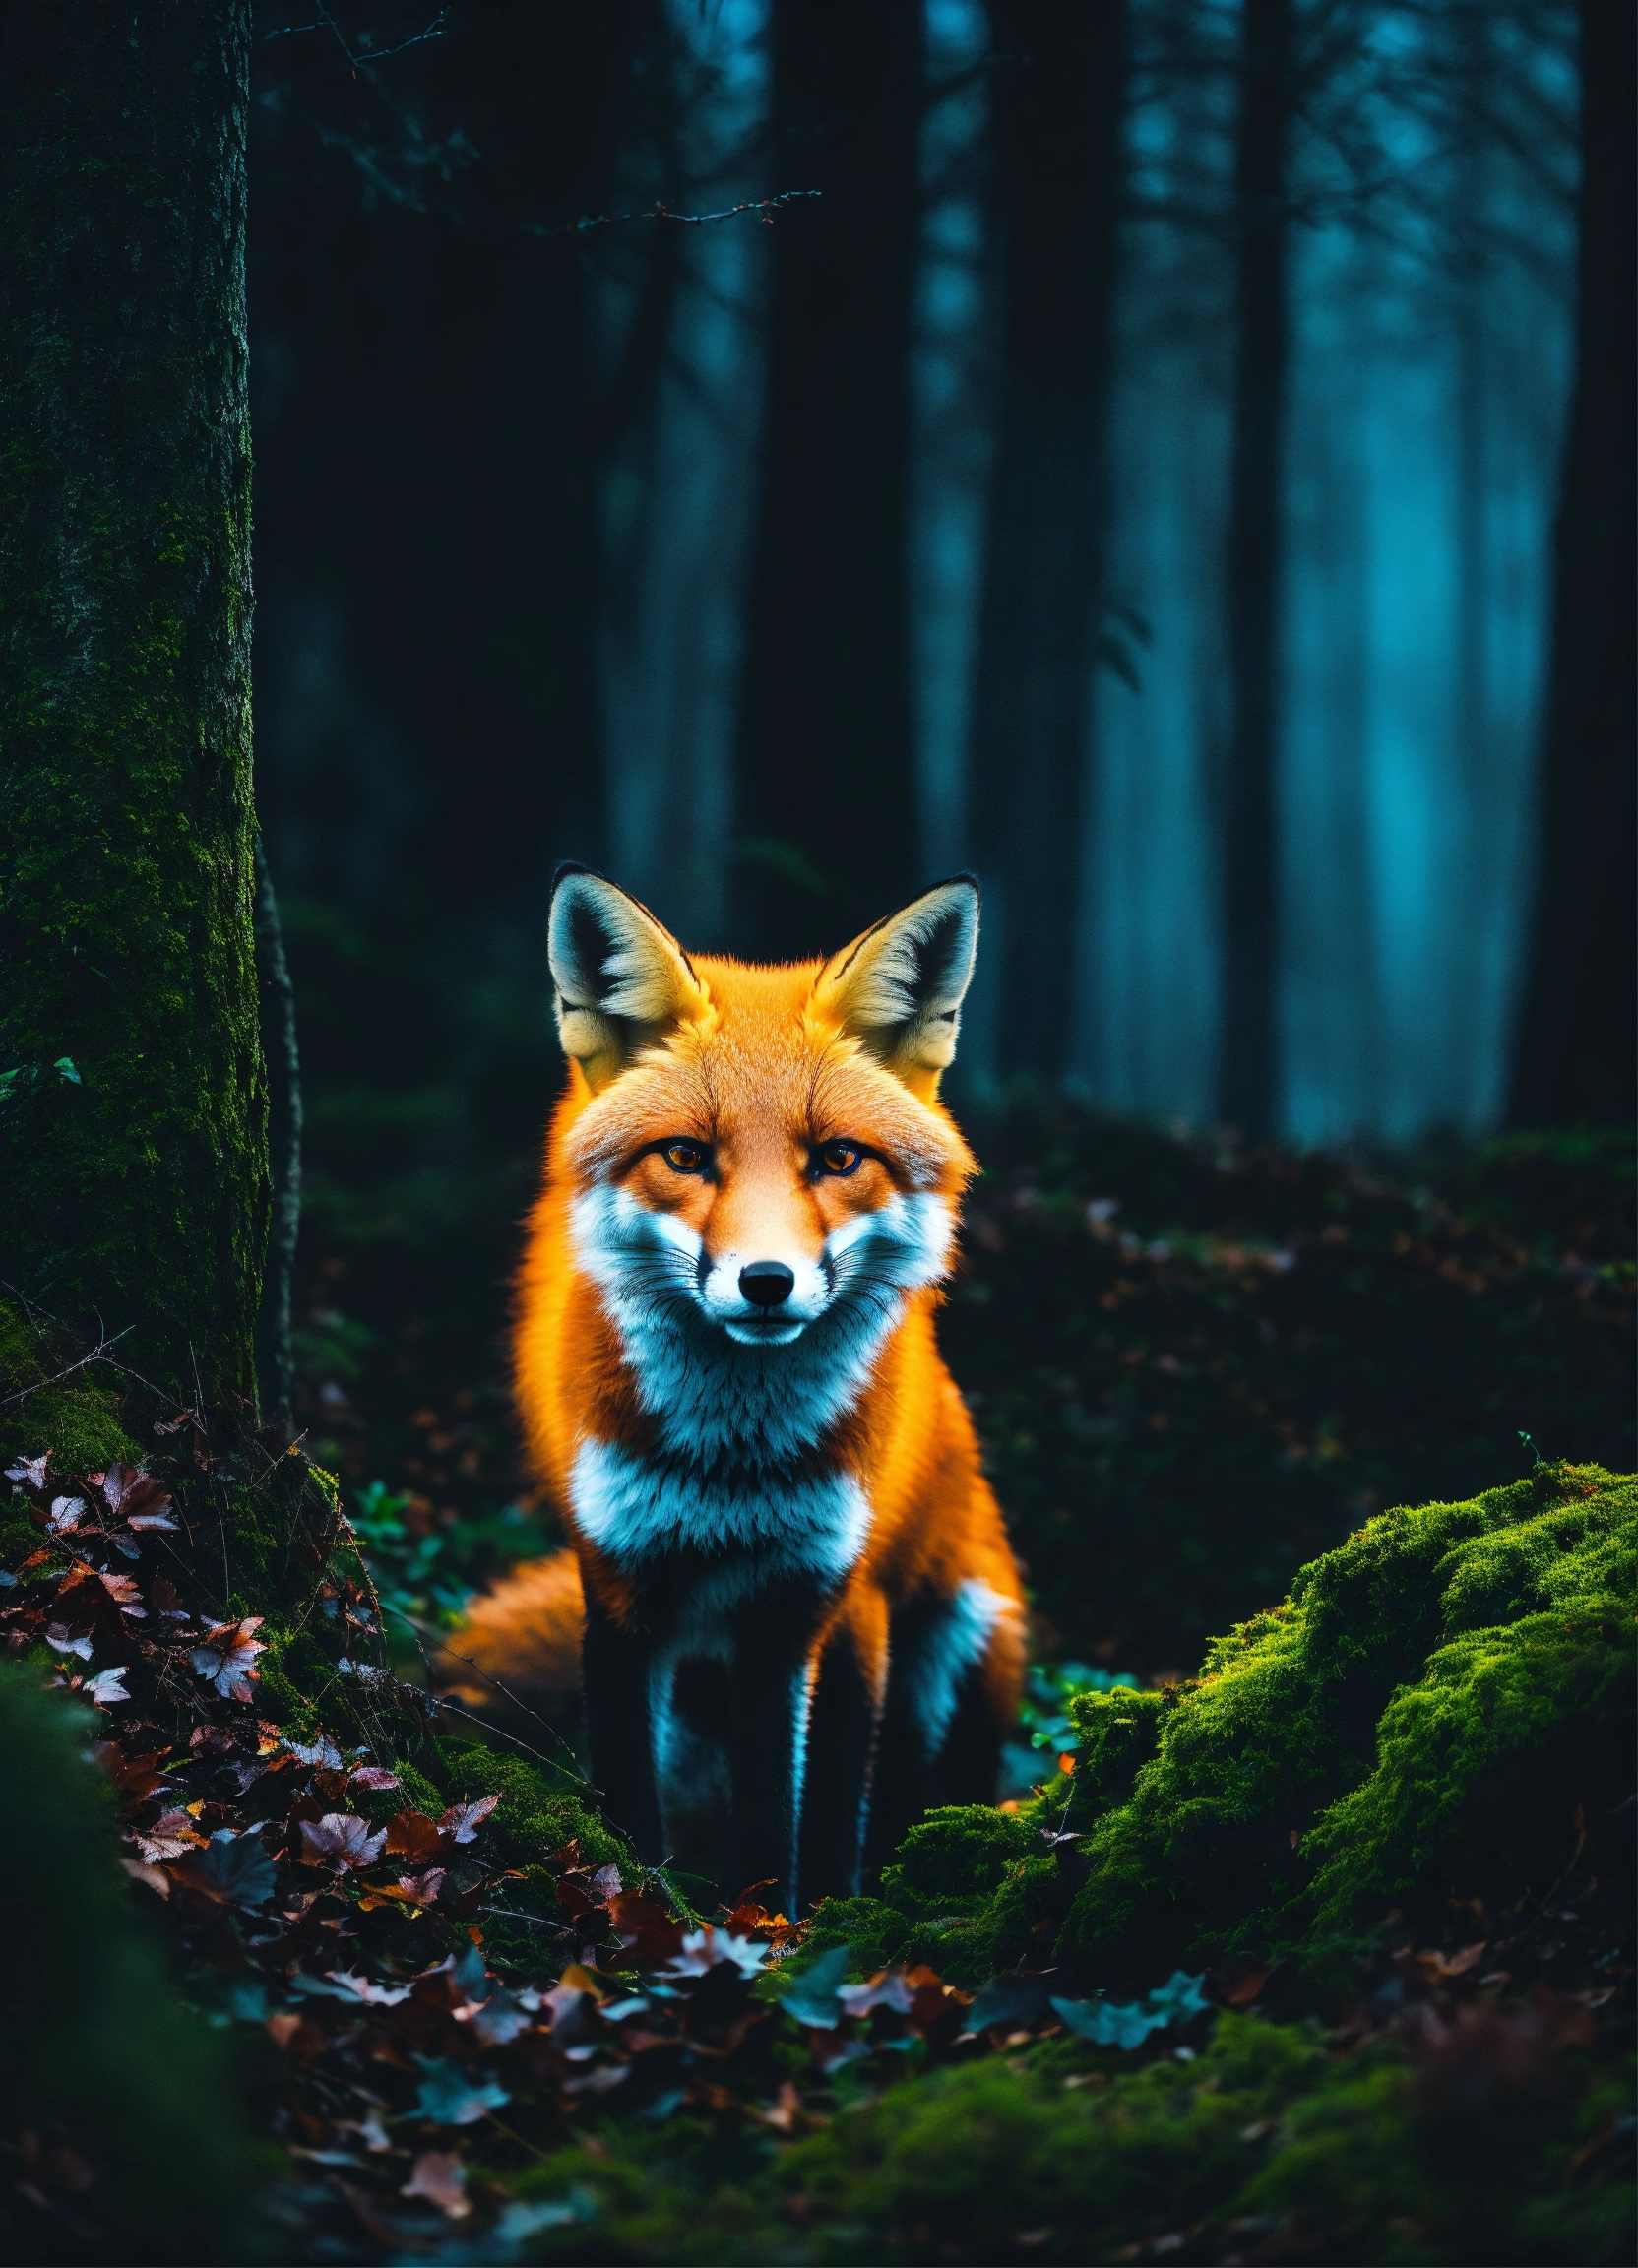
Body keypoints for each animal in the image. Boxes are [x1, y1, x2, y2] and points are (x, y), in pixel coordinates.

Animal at [452, 866, 1025, 1915]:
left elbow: (798, 1813)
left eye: (837, 1157)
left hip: (960, 1647)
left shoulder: (821, 1602)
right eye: (686, 1155)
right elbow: (630, 1797)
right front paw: (649, 1912)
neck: (732, 1469)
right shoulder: (620, 1582)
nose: (767, 1282)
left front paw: (782, 1925)